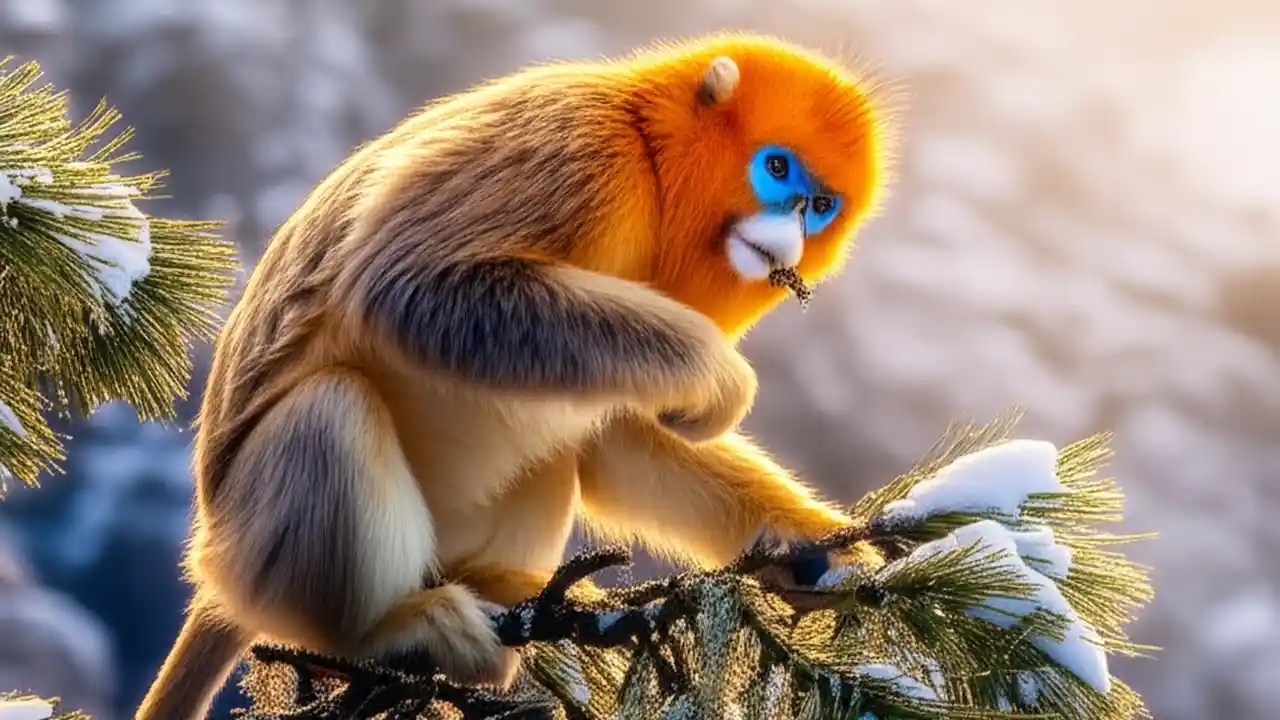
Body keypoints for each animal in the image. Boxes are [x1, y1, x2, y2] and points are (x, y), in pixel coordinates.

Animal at [136, 31, 893, 720]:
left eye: (820, 206)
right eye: (776, 167)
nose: (791, 238)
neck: (651, 167)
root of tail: (216, 571)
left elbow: (619, 436)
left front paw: (812, 552)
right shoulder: (583, 147)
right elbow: (408, 285)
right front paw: (717, 376)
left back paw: (506, 586)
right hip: (258, 557)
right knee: (331, 406)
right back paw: (382, 630)